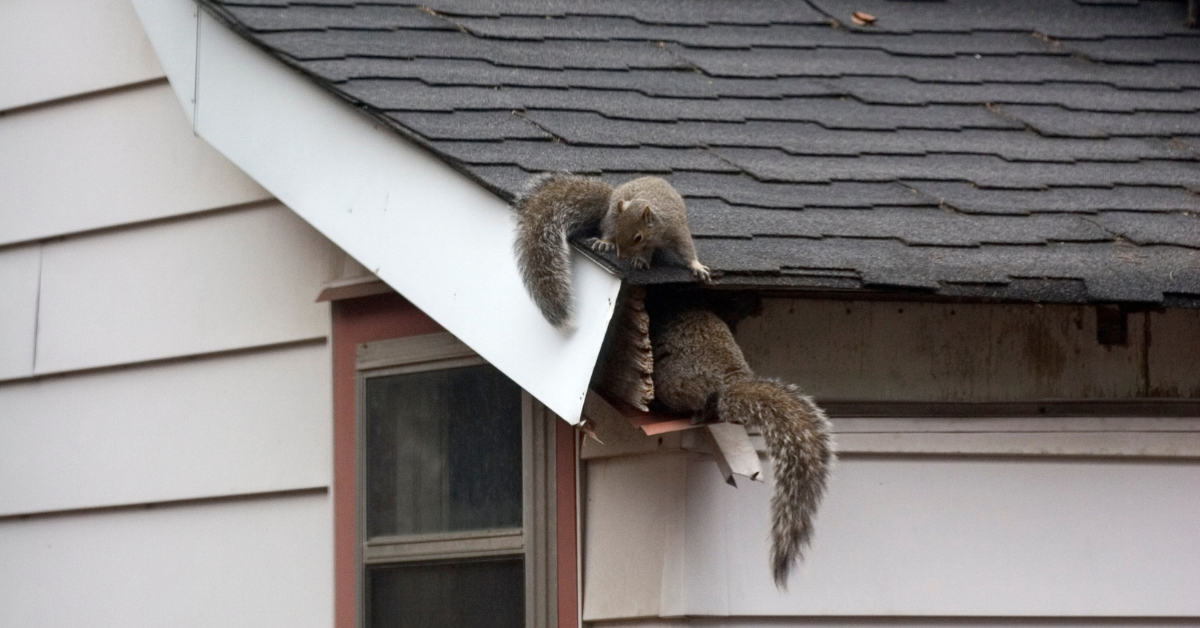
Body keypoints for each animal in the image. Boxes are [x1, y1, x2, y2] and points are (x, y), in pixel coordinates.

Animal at [514, 173, 711, 328]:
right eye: (619, 229)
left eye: (638, 237)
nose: (621, 255)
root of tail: (612, 198)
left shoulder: (675, 230)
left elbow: (686, 249)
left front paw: (697, 266)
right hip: (612, 213)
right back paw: (606, 242)